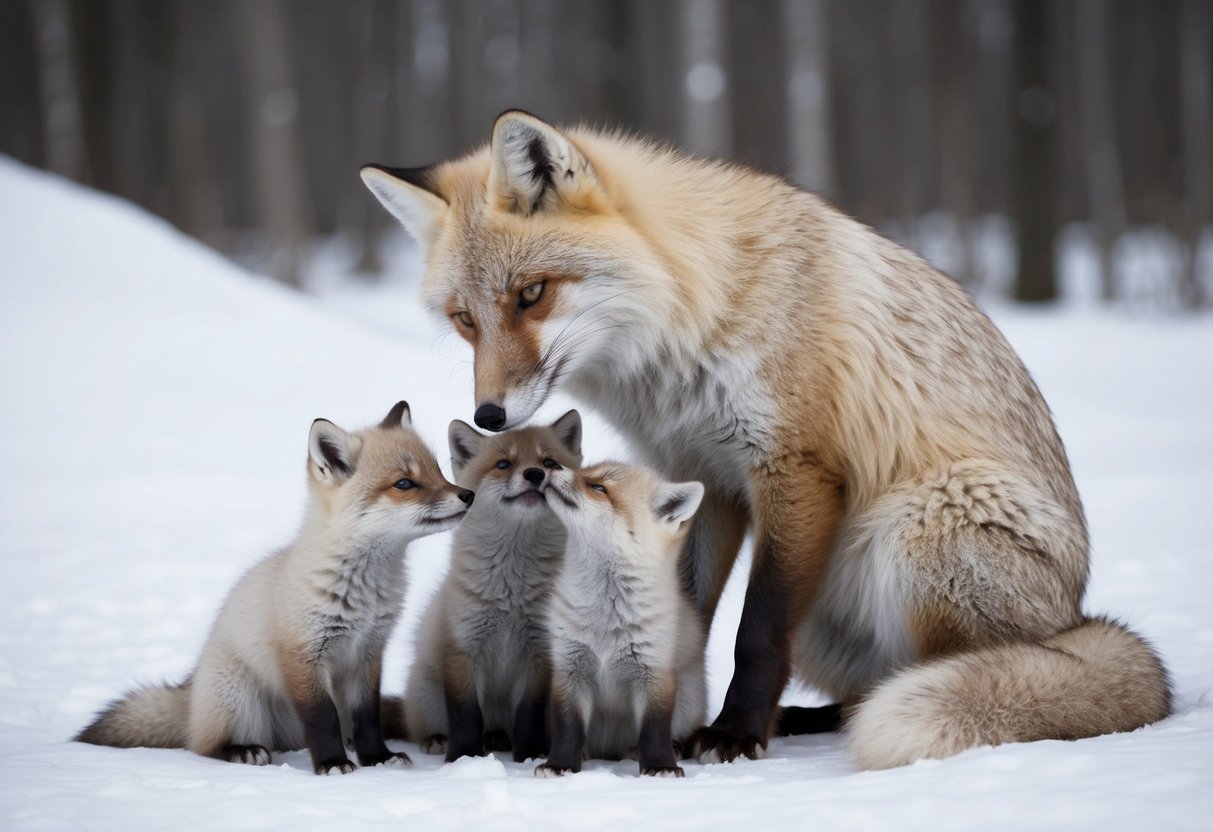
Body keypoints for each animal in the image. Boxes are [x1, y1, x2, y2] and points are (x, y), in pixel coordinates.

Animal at [75, 401, 474, 774]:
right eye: (404, 484)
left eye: (439, 471)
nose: (467, 495)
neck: (361, 590)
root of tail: (191, 696)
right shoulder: (303, 655)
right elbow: (322, 719)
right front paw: (332, 764)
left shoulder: (368, 655)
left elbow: (368, 719)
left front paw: (377, 758)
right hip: (237, 698)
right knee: (204, 746)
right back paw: (241, 750)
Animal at [404, 410, 583, 763]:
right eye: (503, 464)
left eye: (550, 462)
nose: (534, 474)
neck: (512, 594)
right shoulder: (462, 650)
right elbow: (465, 716)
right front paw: (464, 757)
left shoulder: (540, 655)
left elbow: (529, 714)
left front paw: (529, 754)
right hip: (427, 692)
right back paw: (438, 740)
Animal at [536, 461, 706, 778]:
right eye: (585, 469)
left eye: (599, 487)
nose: (551, 464)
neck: (606, 620)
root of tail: (610, 750)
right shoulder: (570, 668)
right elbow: (568, 726)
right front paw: (560, 764)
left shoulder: (653, 672)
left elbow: (654, 728)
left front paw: (661, 766)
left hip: (688, 699)